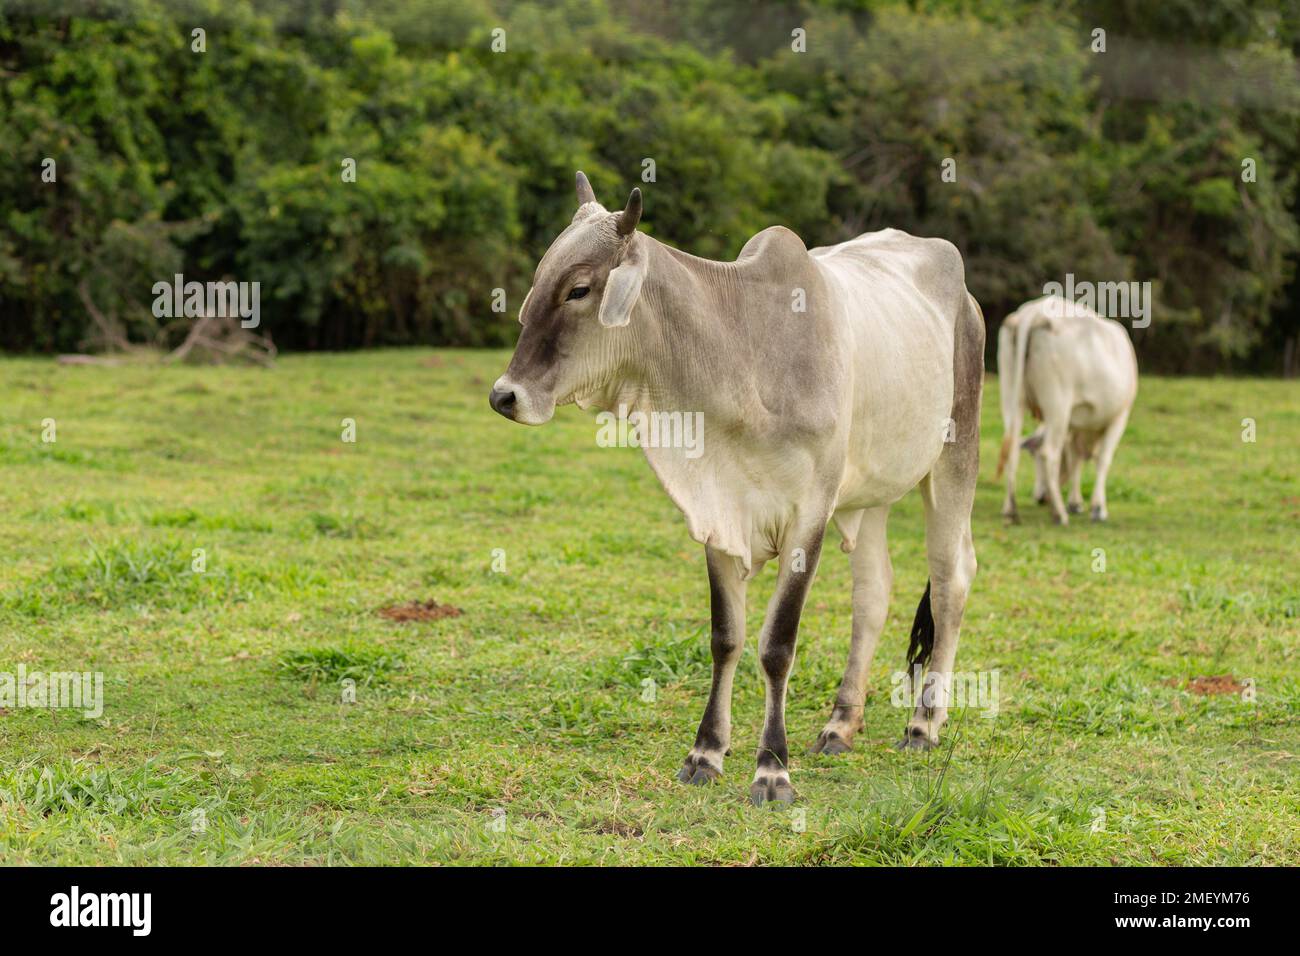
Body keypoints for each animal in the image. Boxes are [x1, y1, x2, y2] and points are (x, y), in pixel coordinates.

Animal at [489, 172, 985, 805]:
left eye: (579, 288)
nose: (505, 395)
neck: (743, 354)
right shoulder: (716, 511)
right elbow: (726, 636)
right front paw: (706, 752)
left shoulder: (809, 515)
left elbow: (776, 645)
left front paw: (772, 768)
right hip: (868, 493)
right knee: (873, 594)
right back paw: (840, 724)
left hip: (953, 459)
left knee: (950, 581)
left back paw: (924, 723)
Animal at [996, 294, 1138, 525]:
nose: (1039, 497)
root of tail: (1034, 312)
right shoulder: (1119, 417)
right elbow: (1102, 460)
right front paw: (1097, 508)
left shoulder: (1074, 423)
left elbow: (1074, 460)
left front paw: (1075, 502)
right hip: (1057, 404)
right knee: (1049, 452)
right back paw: (1059, 513)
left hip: (1011, 397)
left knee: (1012, 447)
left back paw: (1011, 510)